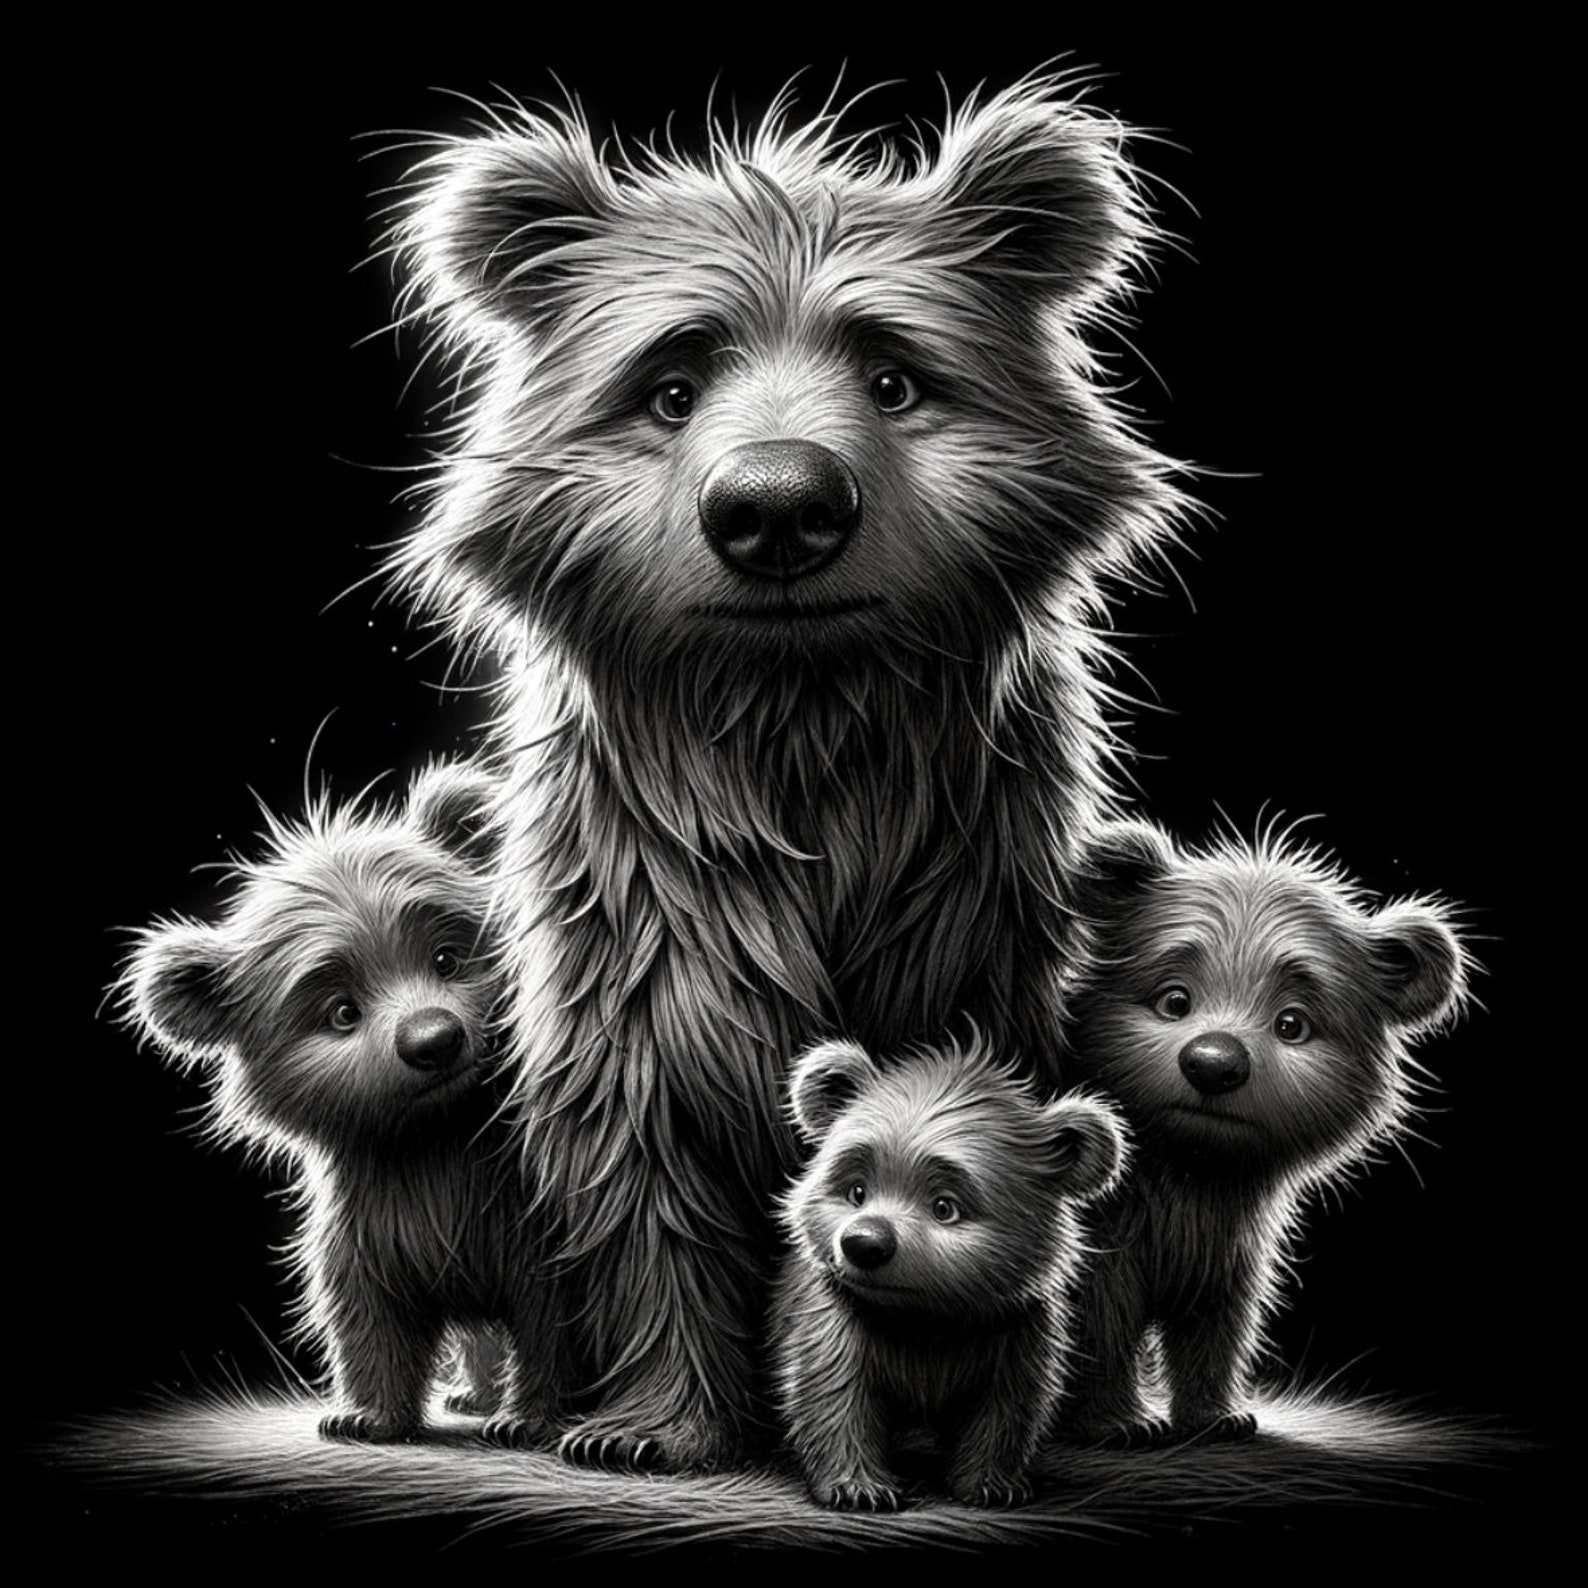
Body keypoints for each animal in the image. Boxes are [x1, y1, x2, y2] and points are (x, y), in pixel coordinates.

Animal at [114, 760, 564, 1446]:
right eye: (342, 1012)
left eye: (447, 958)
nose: (433, 1039)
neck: (434, 1144)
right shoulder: (364, 1236)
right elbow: (369, 1325)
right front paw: (365, 1416)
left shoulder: (539, 1219)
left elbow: (553, 1323)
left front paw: (531, 1419)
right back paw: (473, 1393)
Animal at [773, 1035, 1126, 1510]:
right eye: (857, 1191)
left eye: (944, 1206)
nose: (864, 1243)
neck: (927, 1319)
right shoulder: (837, 1324)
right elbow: (834, 1399)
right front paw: (857, 1487)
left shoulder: (1015, 1333)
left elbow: (1004, 1411)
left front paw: (992, 1484)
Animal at [1055, 819, 1470, 1445]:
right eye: (1174, 998)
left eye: (1292, 1023)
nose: (1214, 1062)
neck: (1186, 1184)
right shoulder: (1101, 1253)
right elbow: (1100, 1331)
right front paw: (1115, 1423)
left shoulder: (1230, 1259)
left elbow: (1215, 1335)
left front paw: (1215, 1416)